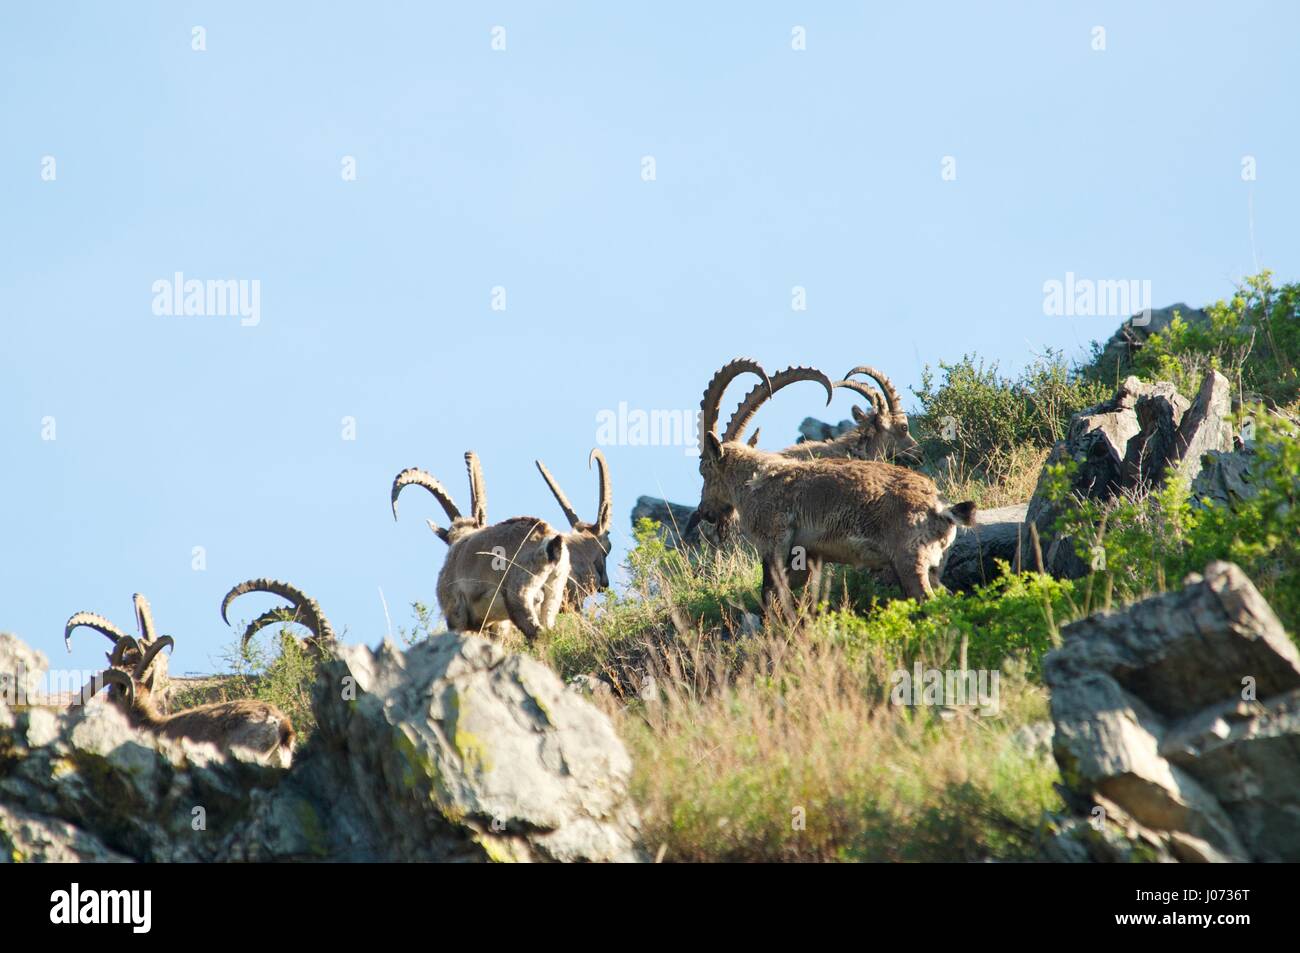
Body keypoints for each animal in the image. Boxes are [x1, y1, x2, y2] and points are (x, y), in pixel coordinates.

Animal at [392, 451, 569, 641]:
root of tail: (549, 539)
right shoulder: (497, 624)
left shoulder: (456, 615)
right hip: (554, 592)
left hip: (519, 594)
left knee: (536, 631)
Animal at [687, 358, 976, 608]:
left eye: (704, 469)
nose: (705, 512)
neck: (754, 480)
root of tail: (942, 508)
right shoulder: (805, 556)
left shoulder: (774, 542)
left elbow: (771, 595)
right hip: (933, 565)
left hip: (910, 559)